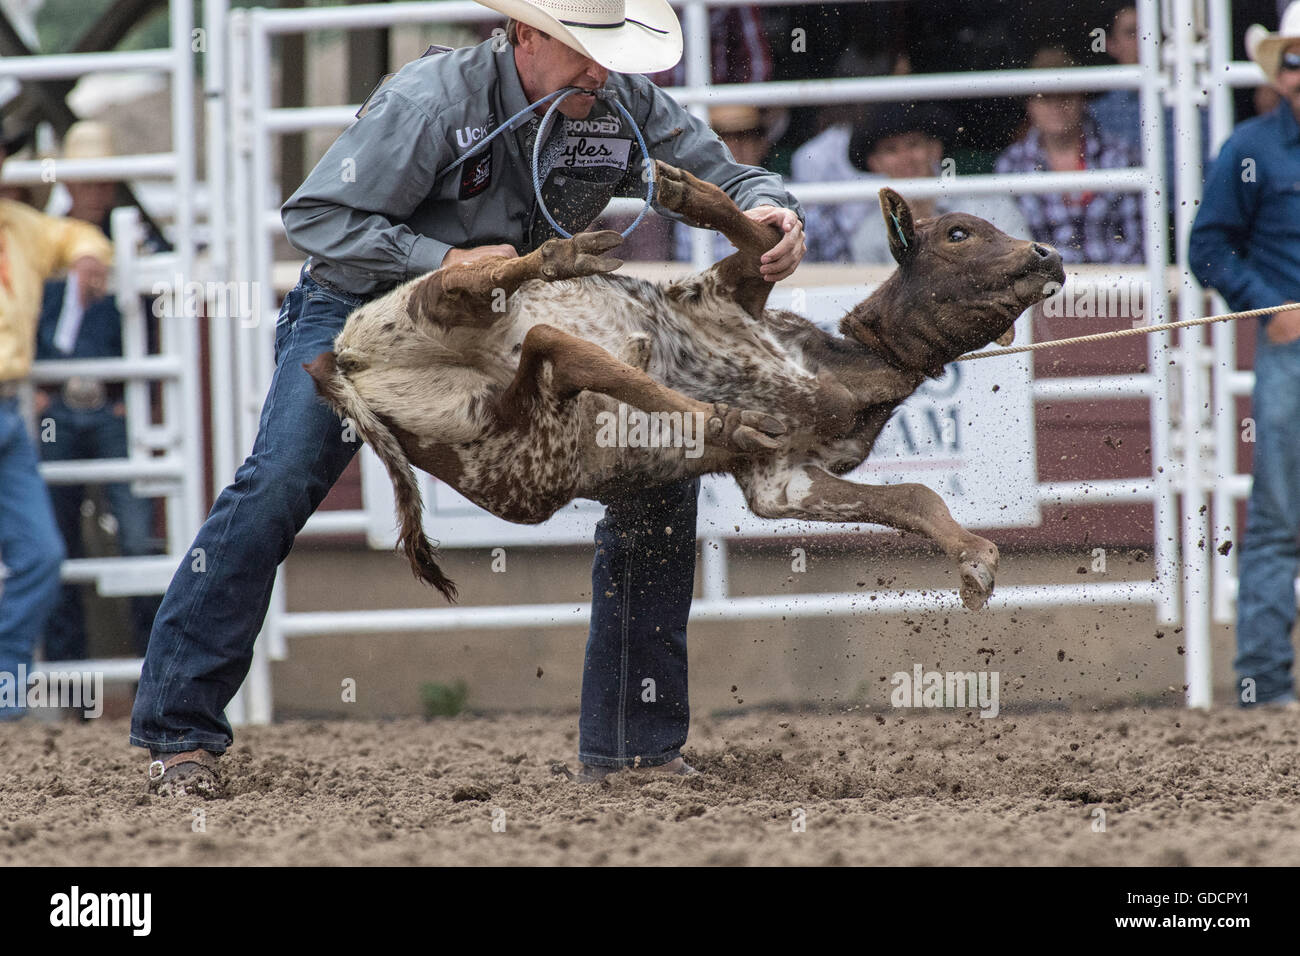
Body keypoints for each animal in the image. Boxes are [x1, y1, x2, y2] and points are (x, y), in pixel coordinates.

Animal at [305, 161, 1064, 610]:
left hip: (520, 451)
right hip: (450, 331)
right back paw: (576, 266)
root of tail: (342, 365)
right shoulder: (723, 294)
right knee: (520, 310)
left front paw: (975, 563)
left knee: (551, 354)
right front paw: (677, 189)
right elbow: (758, 242)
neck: (848, 365)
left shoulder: (783, 482)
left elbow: (913, 495)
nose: (1048, 254)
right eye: (960, 232)